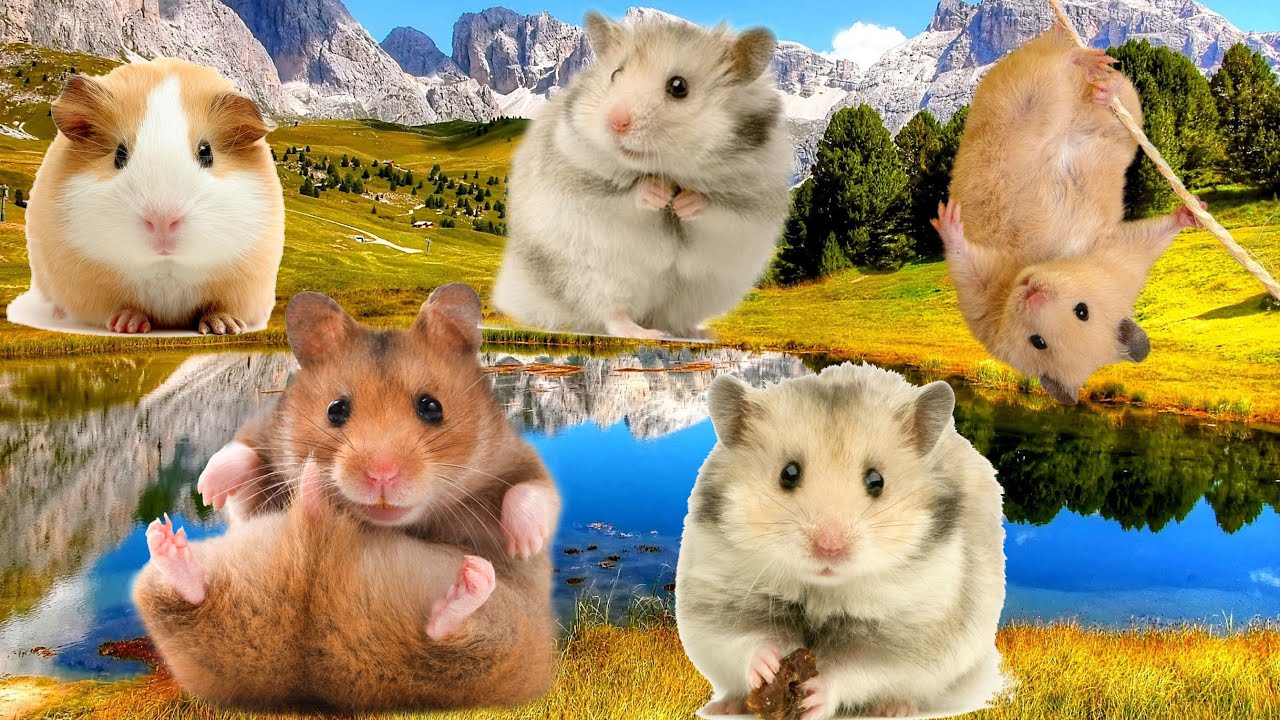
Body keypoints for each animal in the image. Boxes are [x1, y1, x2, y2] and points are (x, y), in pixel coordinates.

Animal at [23, 58, 284, 335]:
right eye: (119, 154)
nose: (162, 221)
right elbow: (124, 307)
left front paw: (224, 327)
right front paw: (127, 325)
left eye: (207, 152)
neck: (166, 267)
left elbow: (218, 307)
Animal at [195, 283, 561, 579]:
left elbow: (533, 491)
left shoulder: (517, 457)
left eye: (432, 407)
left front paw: (524, 545)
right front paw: (207, 492)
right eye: (335, 409)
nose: (381, 475)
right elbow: (241, 460)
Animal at [492, 12, 793, 340]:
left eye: (678, 86)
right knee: (612, 315)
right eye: (615, 74)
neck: (669, 171)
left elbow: (714, 208)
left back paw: (697, 333)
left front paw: (685, 202)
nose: (615, 122)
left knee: (673, 318)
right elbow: (626, 197)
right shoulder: (580, 182)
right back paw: (647, 333)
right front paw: (656, 194)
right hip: (595, 278)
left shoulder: (750, 205)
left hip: (696, 293)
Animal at [675, 363, 1006, 719]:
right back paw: (726, 705)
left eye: (877, 480)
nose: (829, 548)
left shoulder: (907, 630)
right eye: (788, 473)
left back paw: (895, 708)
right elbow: (744, 640)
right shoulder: (721, 598)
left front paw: (814, 697)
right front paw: (768, 668)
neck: (822, 589)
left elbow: (855, 670)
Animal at [937, 26, 1203, 404]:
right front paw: (946, 218)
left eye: (1081, 311)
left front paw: (1193, 212)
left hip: (1077, 113)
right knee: (1059, 67)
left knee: (1089, 88)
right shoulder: (983, 295)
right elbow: (963, 256)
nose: (1034, 292)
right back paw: (1089, 63)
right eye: (1038, 341)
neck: (1051, 258)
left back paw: (1098, 81)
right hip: (1031, 99)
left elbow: (1156, 232)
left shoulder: (1121, 252)